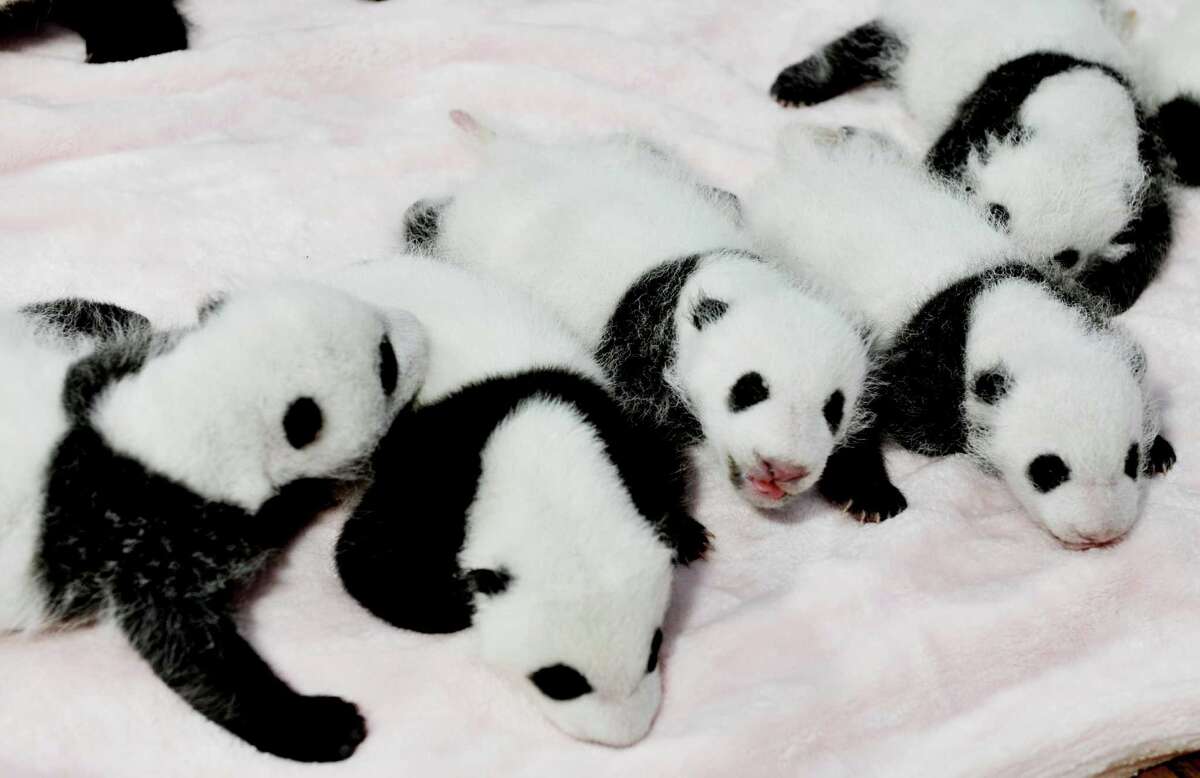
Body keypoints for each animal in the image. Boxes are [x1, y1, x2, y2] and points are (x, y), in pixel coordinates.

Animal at [329, 256, 710, 747]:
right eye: (559, 680)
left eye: (654, 648)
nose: (625, 735)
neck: (544, 458)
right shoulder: (435, 469)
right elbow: (369, 560)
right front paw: (457, 602)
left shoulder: (604, 424)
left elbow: (660, 463)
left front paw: (686, 534)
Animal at [403, 112, 883, 517]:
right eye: (748, 389)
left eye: (833, 409)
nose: (782, 469)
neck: (734, 280)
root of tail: (510, 155)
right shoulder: (635, 347)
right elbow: (632, 433)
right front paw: (682, 529)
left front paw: (869, 491)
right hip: (468, 236)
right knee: (428, 220)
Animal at [746, 127, 1176, 547]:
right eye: (1048, 470)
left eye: (1130, 460)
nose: (1101, 532)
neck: (1017, 316)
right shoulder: (920, 363)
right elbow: (883, 416)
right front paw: (872, 495)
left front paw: (1160, 449)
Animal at [769, 0, 1174, 315]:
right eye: (997, 214)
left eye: (1067, 257)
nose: (1002, 260)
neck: (1084, 118)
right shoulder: (984, 113)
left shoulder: (1145, 161)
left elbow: (1151, 234)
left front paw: (1100, 288)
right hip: (919, 27)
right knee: (864, 45)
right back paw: (794, 87)